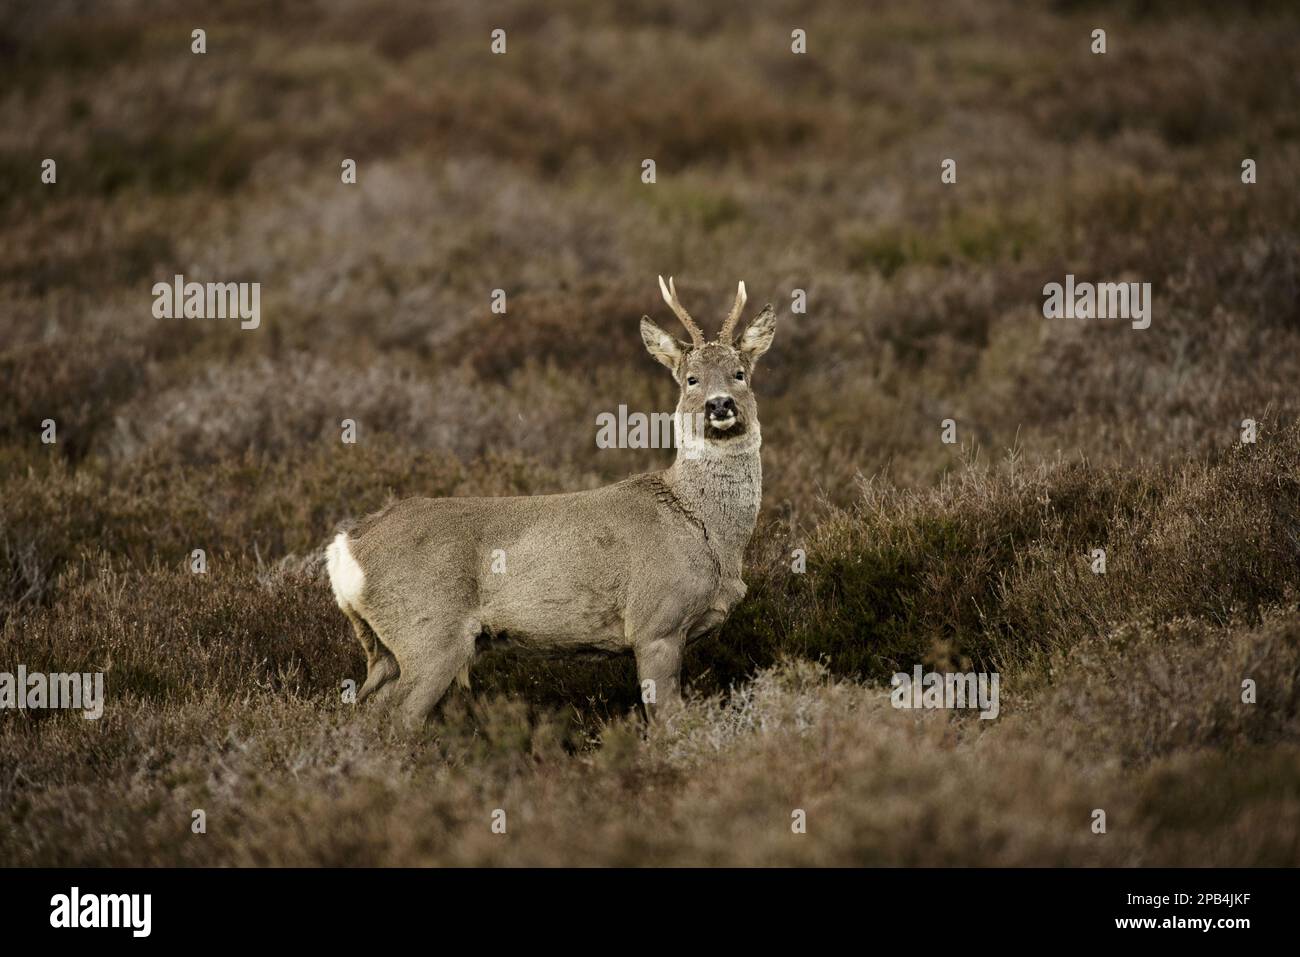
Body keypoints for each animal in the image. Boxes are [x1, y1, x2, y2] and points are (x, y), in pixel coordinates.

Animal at [326, 277, 778, 728]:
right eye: (691, 379)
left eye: (740, 373)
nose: (720, 404)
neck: (704, 529)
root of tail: (345, 547)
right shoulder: (655, 623)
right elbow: (668, 720)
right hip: (428, 634)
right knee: (398, 717)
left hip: (384, 647)